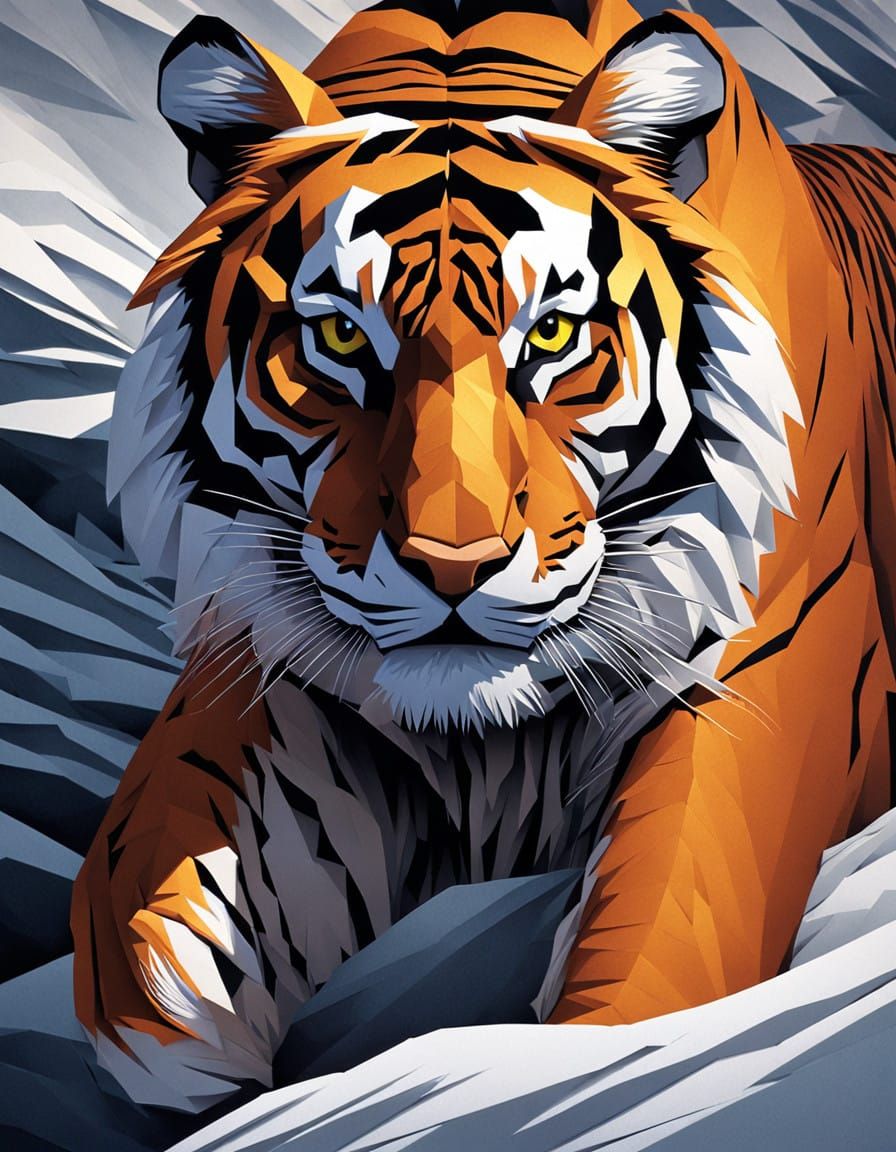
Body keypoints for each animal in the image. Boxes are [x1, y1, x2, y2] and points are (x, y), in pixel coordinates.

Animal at [71, 0, 896, 1113]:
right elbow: (147, 953)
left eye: (551, 334)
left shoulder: (758, 677)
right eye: (340, 338)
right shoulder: (265, 673)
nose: (452, 566)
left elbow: (651, 960)